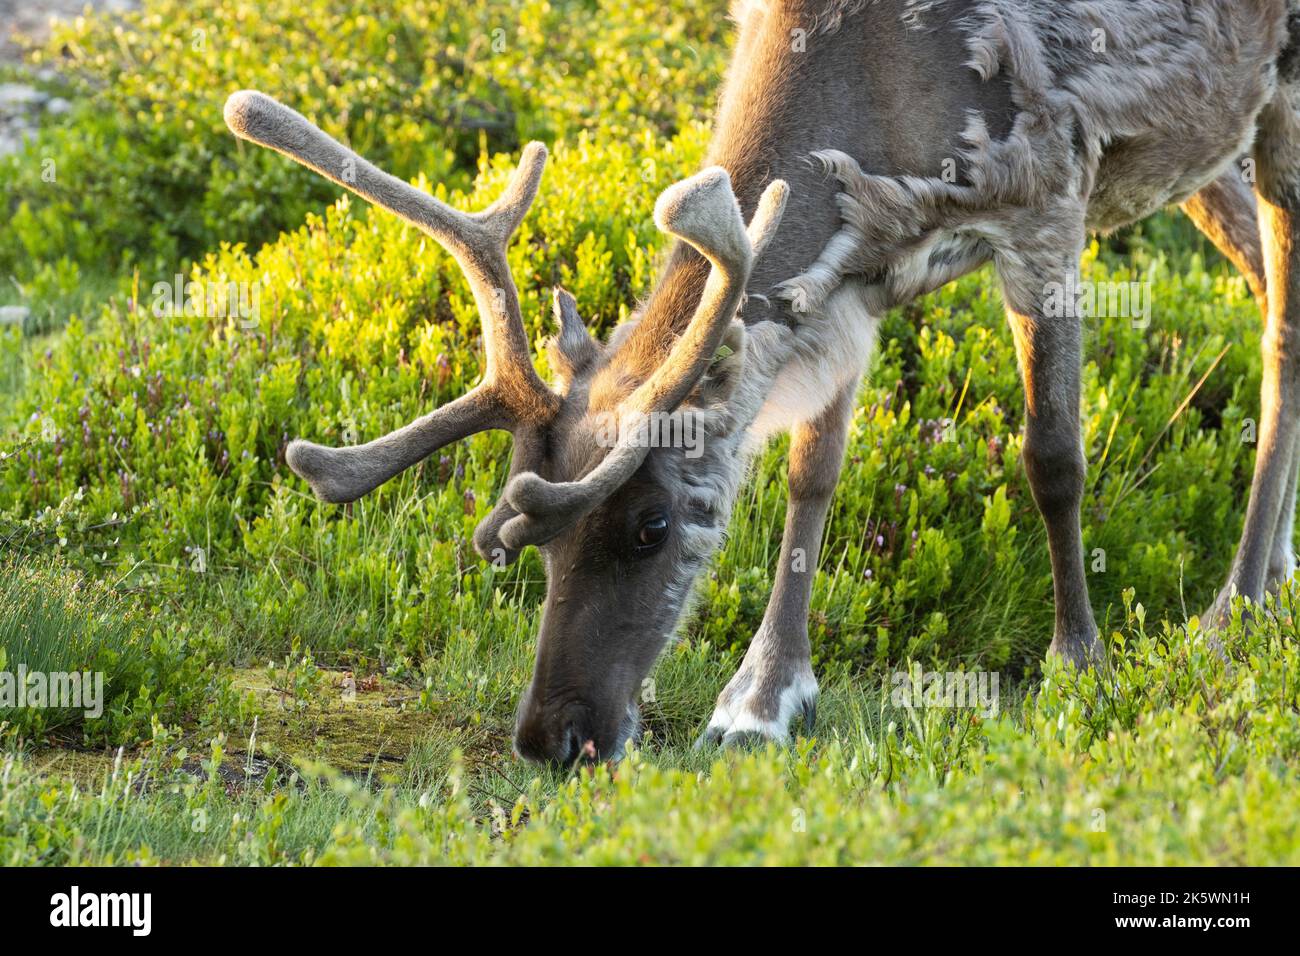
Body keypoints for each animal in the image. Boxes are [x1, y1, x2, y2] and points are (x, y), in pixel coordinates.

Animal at [224, 0, 1299, 764]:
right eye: (541, 549)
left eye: (650, 525)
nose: (551, 736)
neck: (876, 84)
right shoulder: (851, 285)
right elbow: (809, 478)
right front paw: (762, 700)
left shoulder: (1045, 199)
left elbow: (1053, 458)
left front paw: (1079, 664)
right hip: (1210, 146)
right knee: (1262, 291)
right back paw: (1278, 571)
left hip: (1277, 100)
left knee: (1282, 332)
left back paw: (1232, 609)